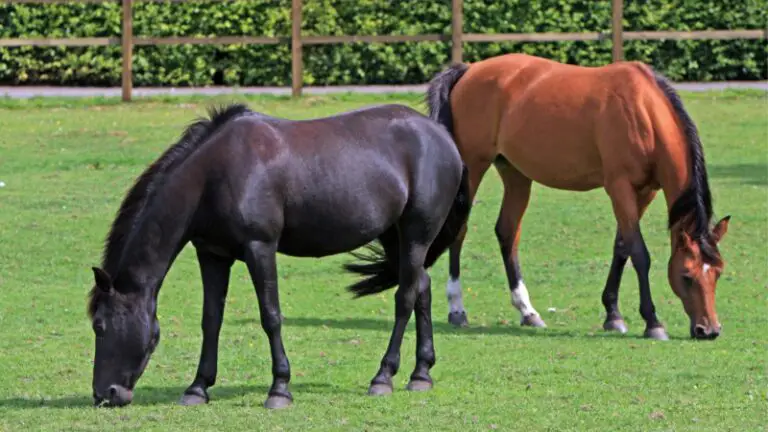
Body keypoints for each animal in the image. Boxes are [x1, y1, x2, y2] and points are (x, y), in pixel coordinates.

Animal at [86, 103, 471, 409]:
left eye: (99, 325)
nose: (105, 394)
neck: (215, 174)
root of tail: (441, 136)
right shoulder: (212, 254)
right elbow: (211, 320)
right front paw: (197, 388)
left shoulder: (260, 248)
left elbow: (270, 316)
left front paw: (279, 389)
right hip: (396, 237)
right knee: (421, 287)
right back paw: (421, 373)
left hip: (416, 235)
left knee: (404, 298)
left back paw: (383, 377)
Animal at [426, 53, 730, 341]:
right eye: (686, 276)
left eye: (718, 272)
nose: (709, 330)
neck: (643, 112)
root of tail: (469, 70)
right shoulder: (619, 187)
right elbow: (638, 252)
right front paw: (652, 322)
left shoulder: (645, 192)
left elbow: (621, 247)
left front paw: (613, 315)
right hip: (473, 166)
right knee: (461, 230)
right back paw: (457, 309)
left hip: (515, 173)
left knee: (508, 232)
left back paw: (528, 311)